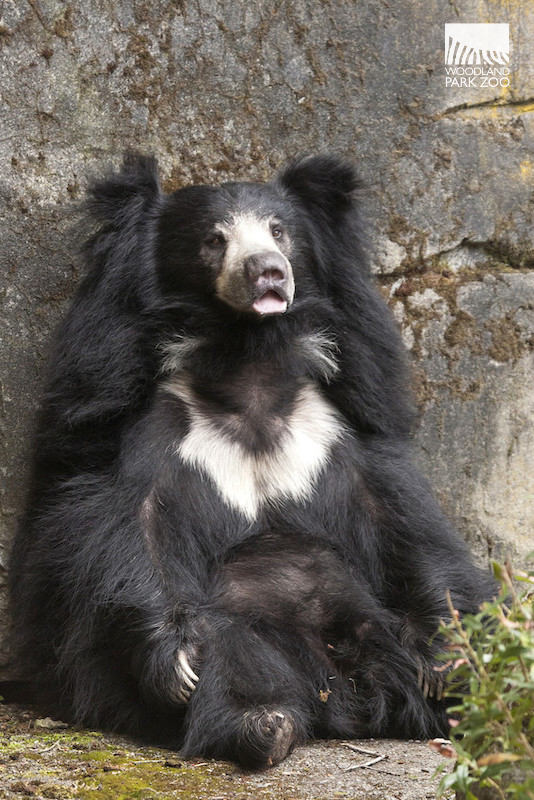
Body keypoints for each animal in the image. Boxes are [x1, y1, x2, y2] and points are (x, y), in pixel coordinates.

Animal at [8, 153, 494, 769]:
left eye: (279, 231)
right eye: (215, 239)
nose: (268, 272)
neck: (249, 361)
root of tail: (348, 704)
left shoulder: (342, 420)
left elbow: (405, 520)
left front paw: (445, 656)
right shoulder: (138, 417)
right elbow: (126, 525)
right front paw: (175, 665)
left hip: (369, 626)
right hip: (248, 638)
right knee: (230, 650)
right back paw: (264, 725)